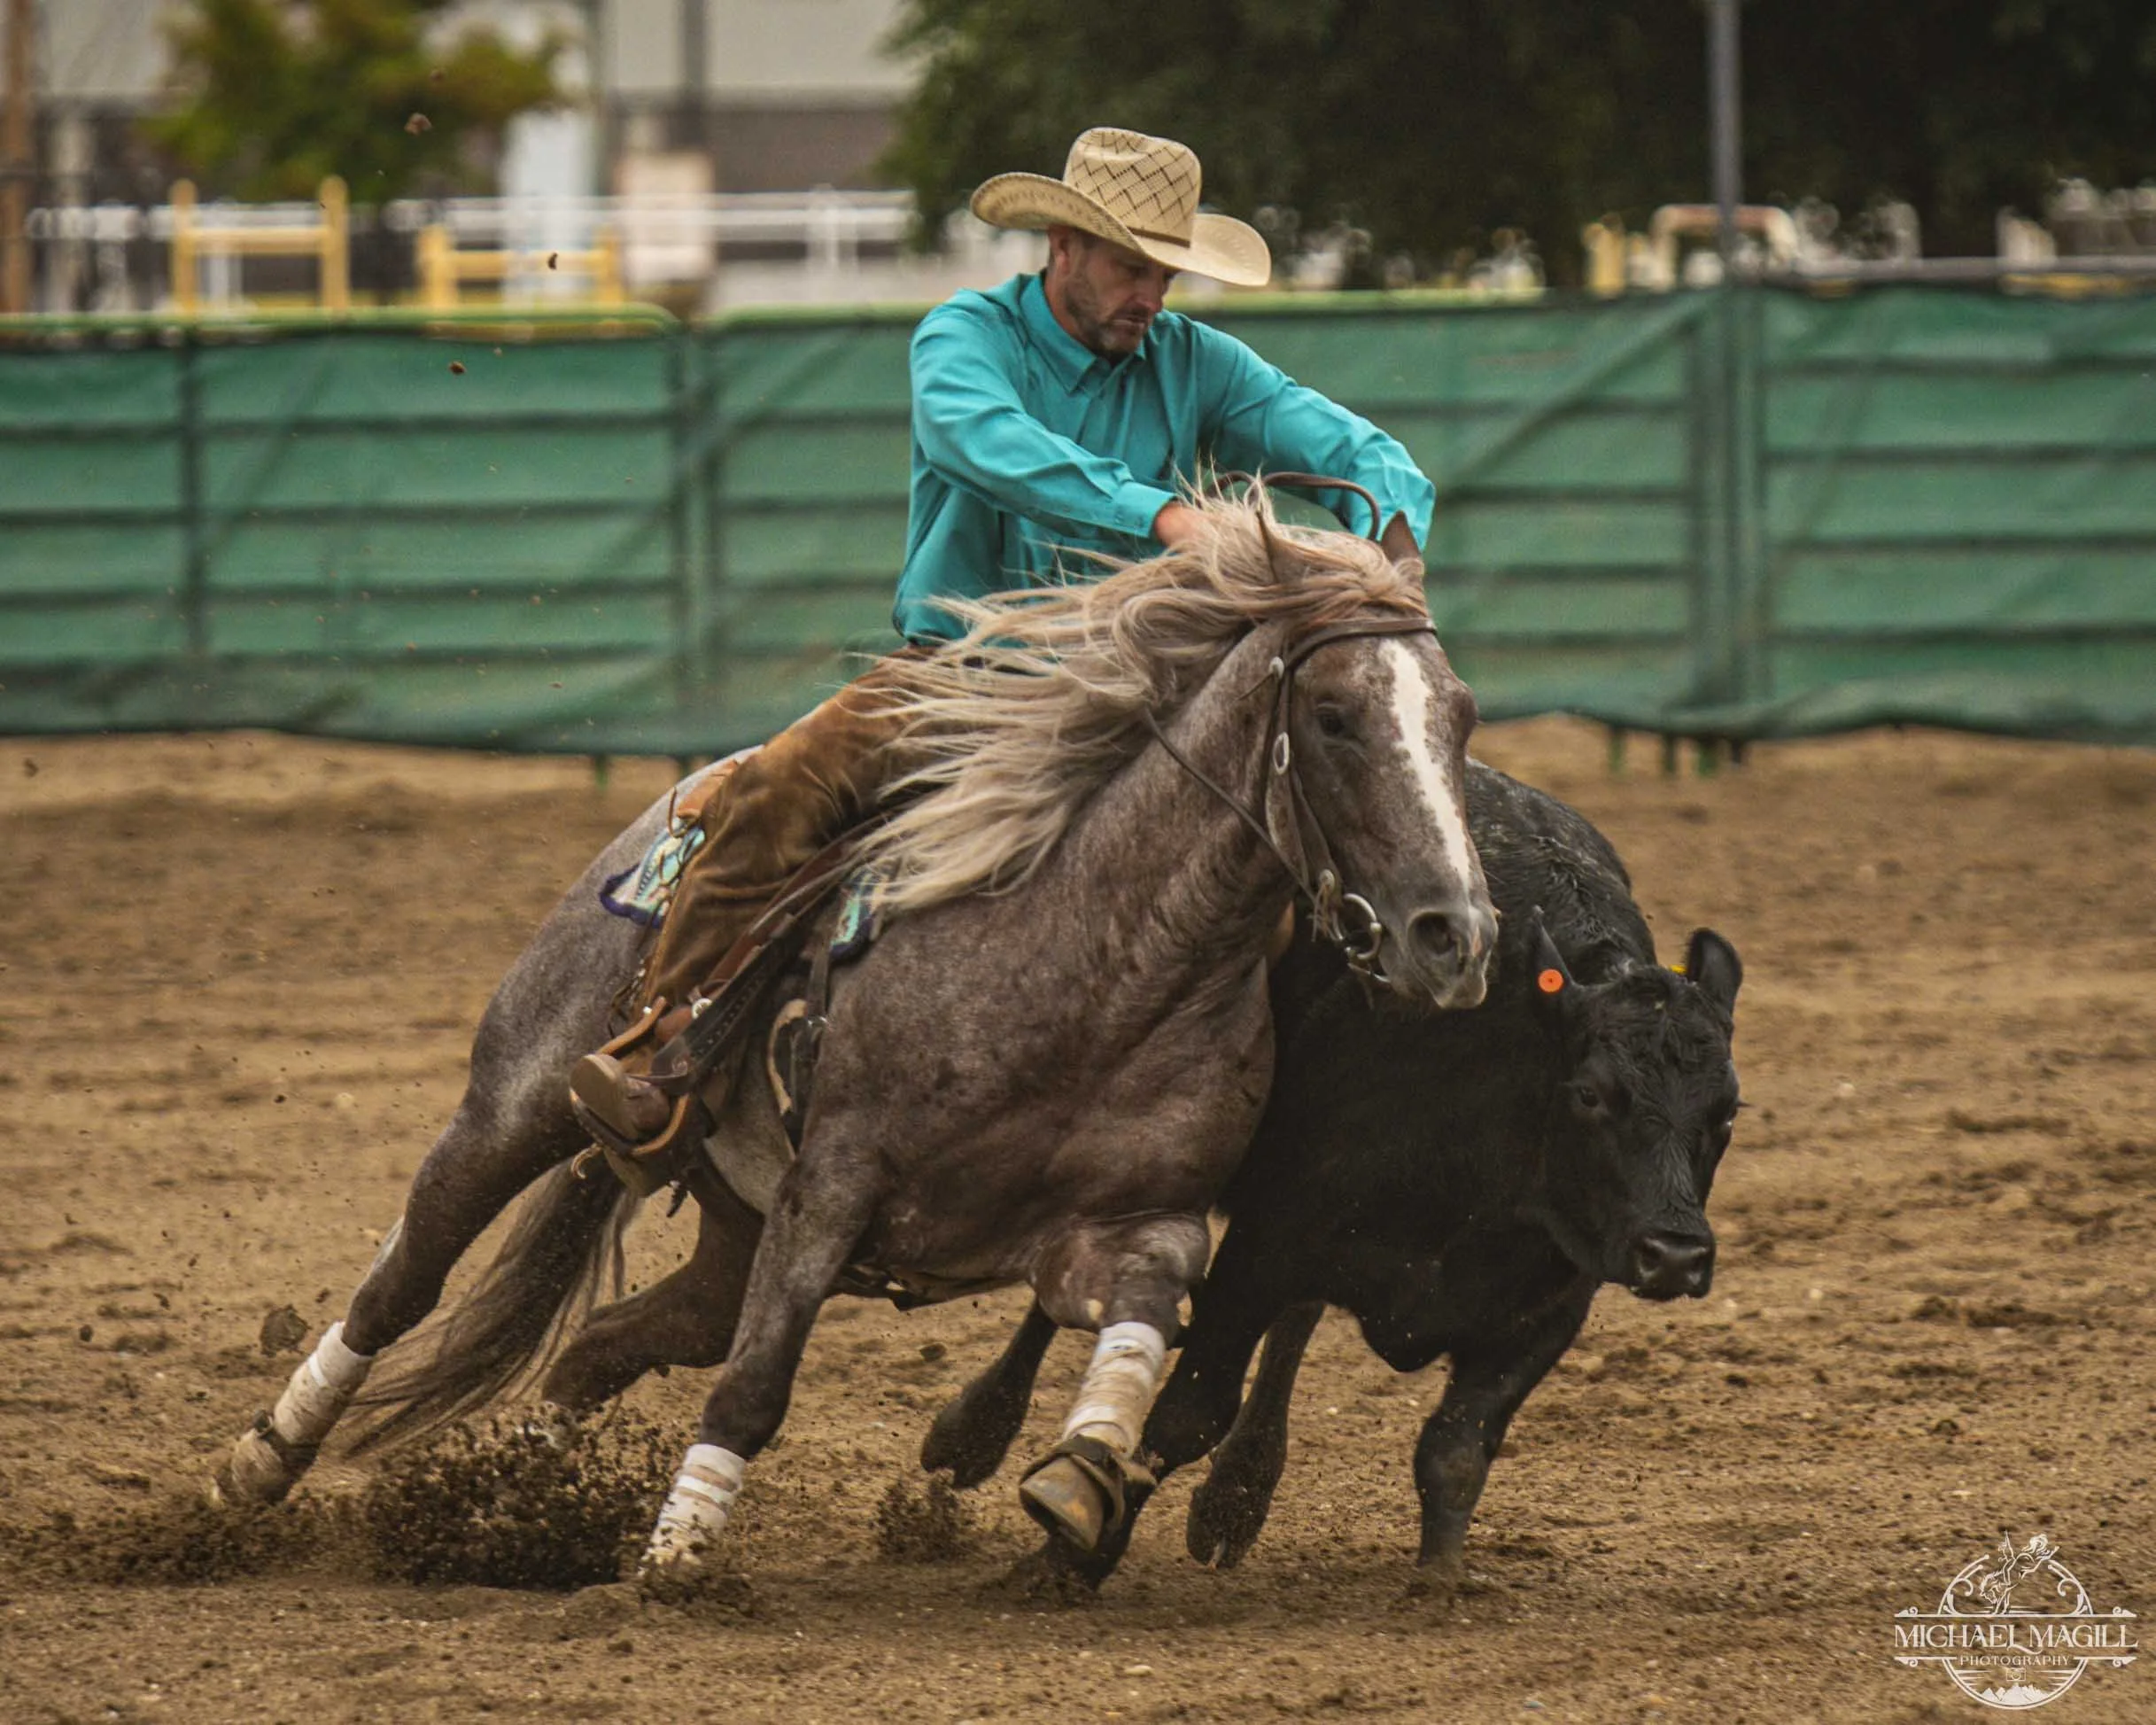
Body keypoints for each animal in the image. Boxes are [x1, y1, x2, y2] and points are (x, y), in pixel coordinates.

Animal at [214, 491, 1499, 1577]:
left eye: (1460, 715)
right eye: (1333, 715)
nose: (1454, 934)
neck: (1097, 961)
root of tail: (668, 810)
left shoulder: (1118, 1228)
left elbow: (1148, 1312)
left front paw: (1080, 1477)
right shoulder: (829, 1187)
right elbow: (754, 1391)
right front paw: (677, 1560)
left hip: (730, 1233)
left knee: (602, 1343)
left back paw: (515, 1498)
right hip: (518, 1103)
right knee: (405, 1280)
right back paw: (251, 1472)